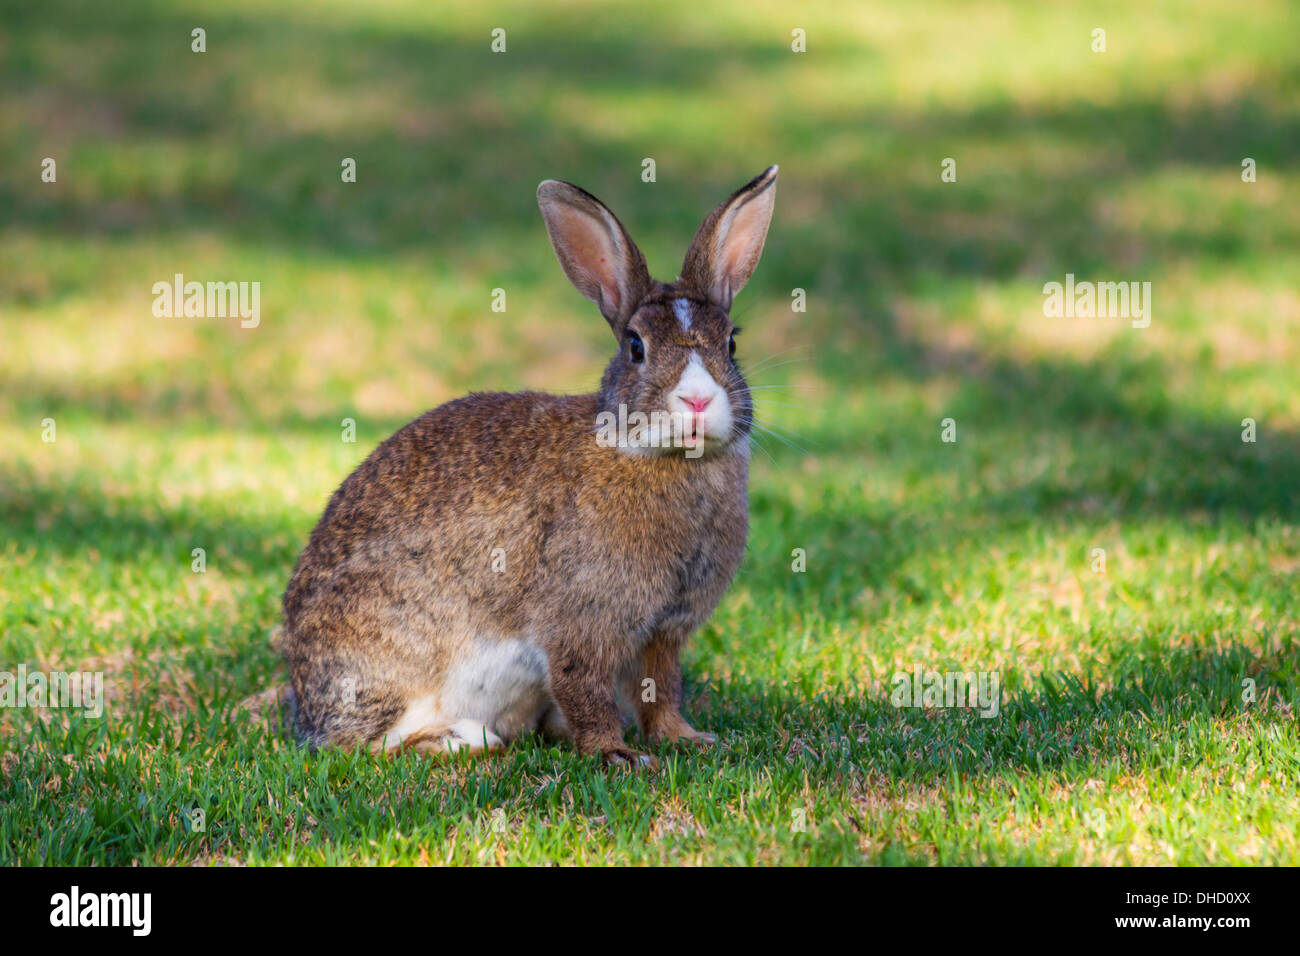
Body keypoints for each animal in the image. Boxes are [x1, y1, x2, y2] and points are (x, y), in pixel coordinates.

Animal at [279, 166, 778, 766]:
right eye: (636, 346)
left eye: (731, 344)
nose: (699, 402)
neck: (660, 456)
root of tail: (309, 711)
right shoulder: (579, 623)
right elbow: (586, 686)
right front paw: (618, 755)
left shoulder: (664, 632)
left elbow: (659, 691)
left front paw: (686, 739)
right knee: (368, 744)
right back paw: (462, 738)